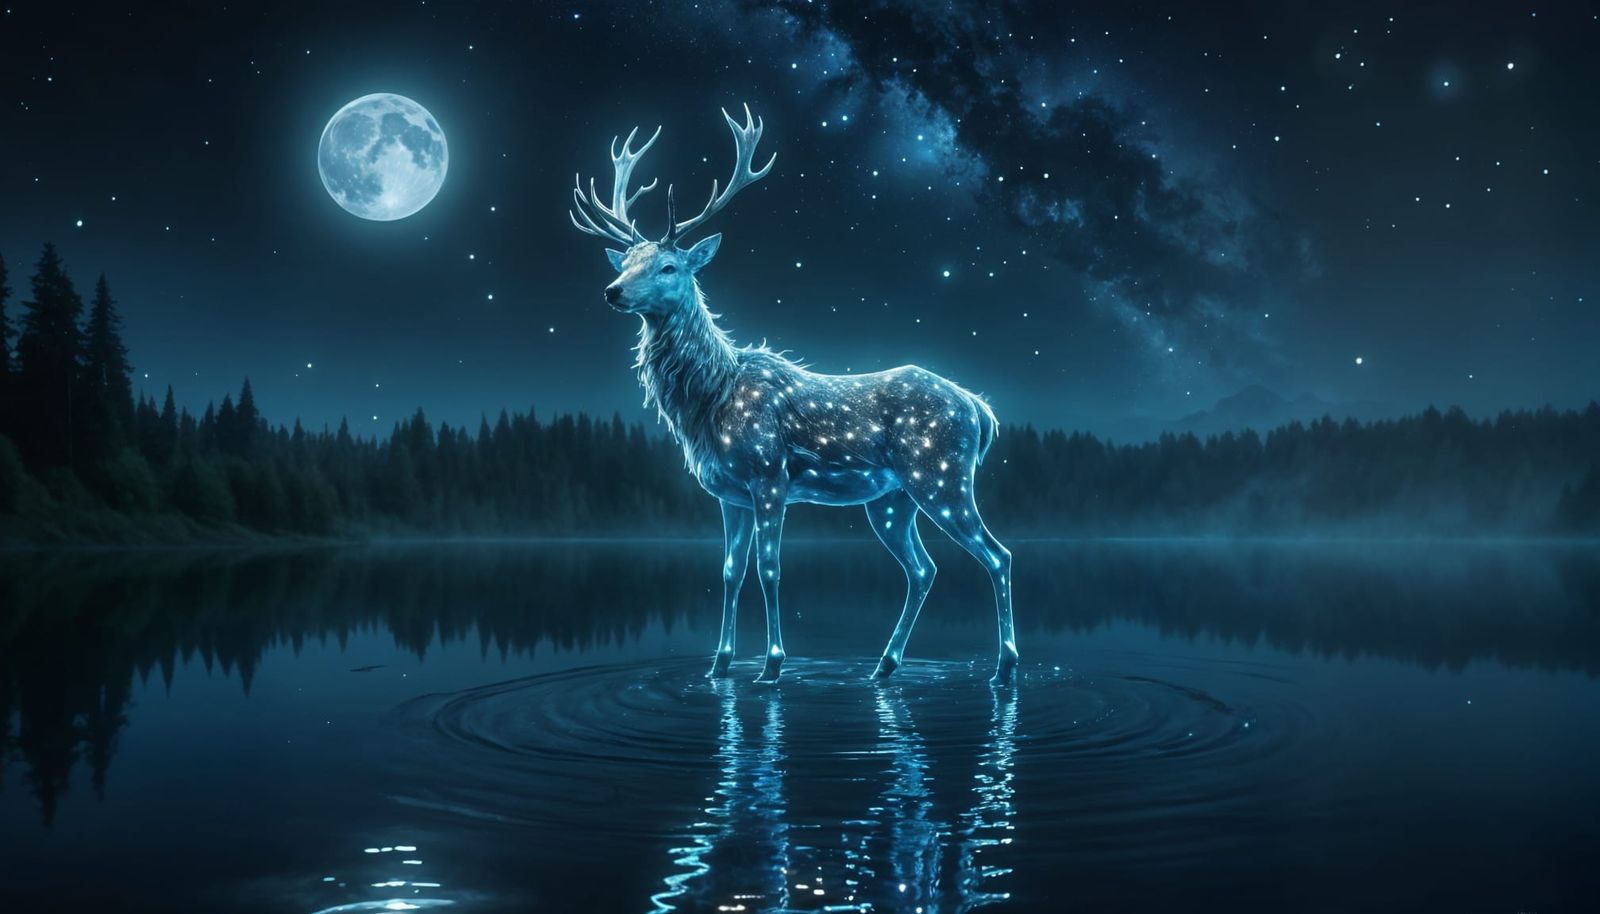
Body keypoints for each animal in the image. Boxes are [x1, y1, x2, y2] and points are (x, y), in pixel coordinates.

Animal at [569, 104, 1018, 685]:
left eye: (668, 266)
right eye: (625, 261)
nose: (612, 291)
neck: (710, 401)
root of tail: (980, 410)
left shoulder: (769, 476)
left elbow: (770, 569)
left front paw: (772, 665)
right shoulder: (727, 494)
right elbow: (730, 571)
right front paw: (719, 665)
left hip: (942, 475)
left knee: (998, 555)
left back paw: (1004, 669)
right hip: (892, 499)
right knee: (923, 568)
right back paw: (884, 665)